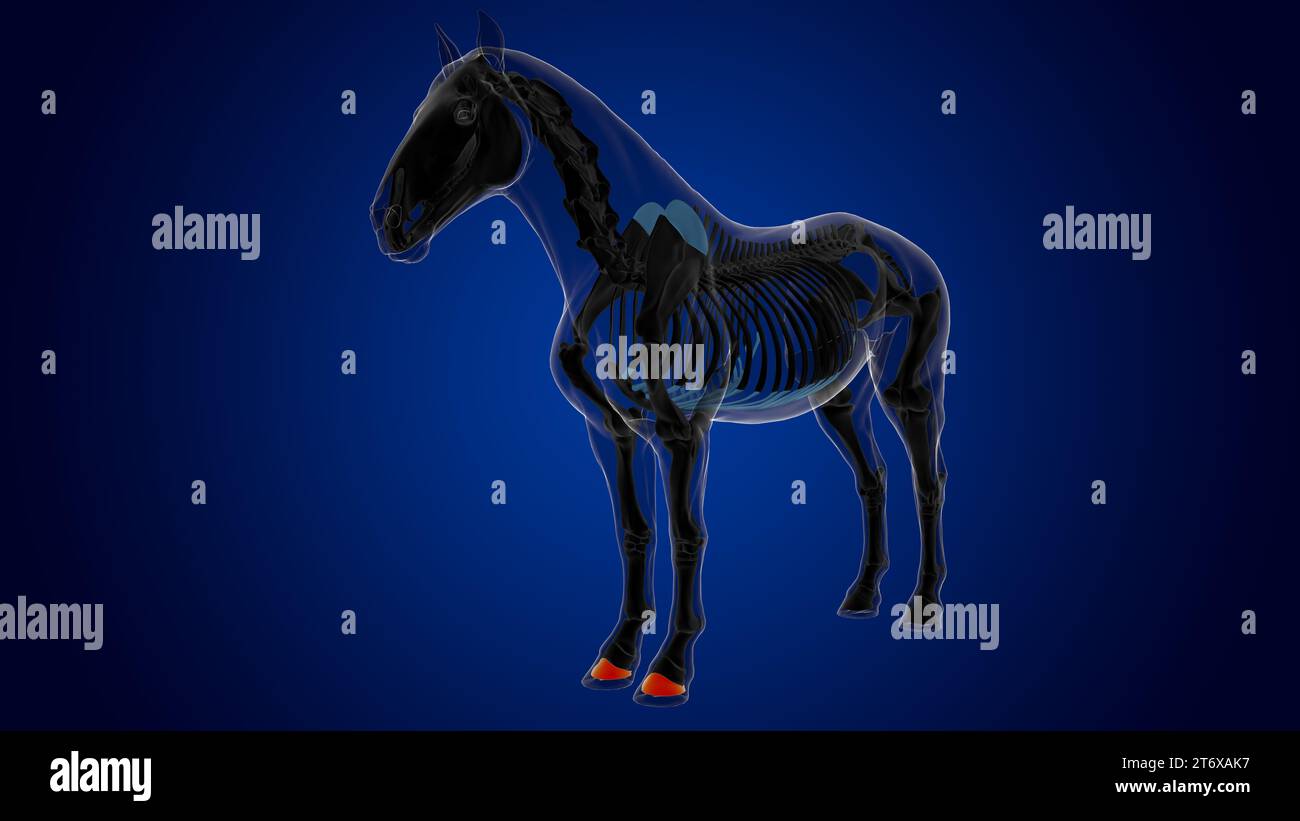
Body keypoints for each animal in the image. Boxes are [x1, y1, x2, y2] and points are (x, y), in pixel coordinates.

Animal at [370, 13, 950, 707]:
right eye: (415, 113)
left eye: (462, 112)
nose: (388, 224)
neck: (627, 268)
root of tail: (905, 248)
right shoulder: (608, 430)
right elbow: (634, 532)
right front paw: (616, 658)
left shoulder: (682, 431)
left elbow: (686, 535)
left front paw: (671, 669)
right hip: (838, 397)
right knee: (874, 479)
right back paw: (862, 598)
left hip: (908, 387)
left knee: (927, 480)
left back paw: (923, 608)